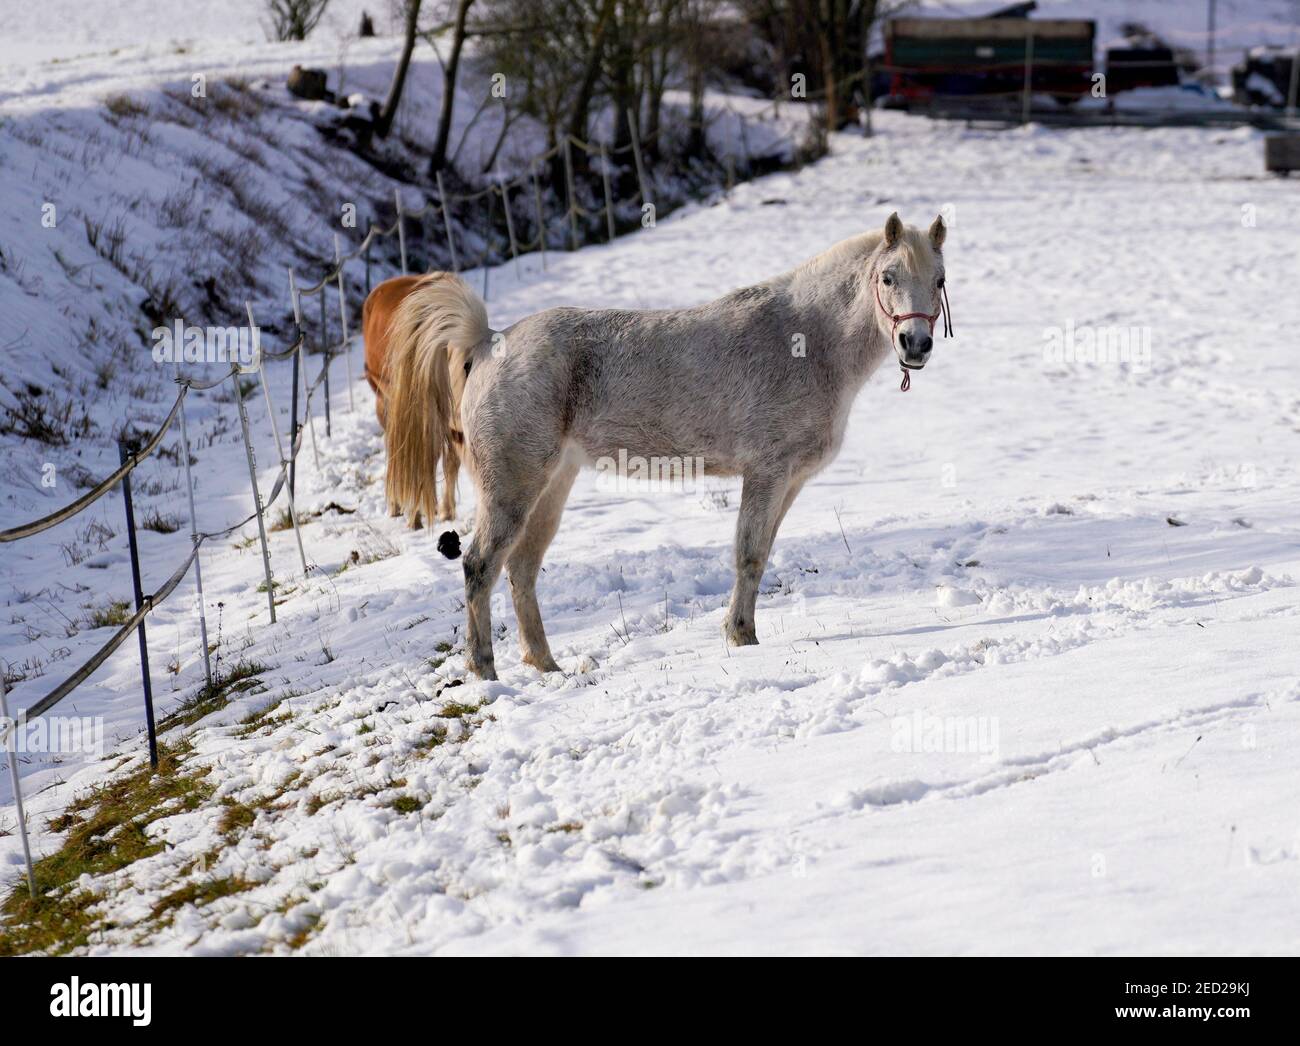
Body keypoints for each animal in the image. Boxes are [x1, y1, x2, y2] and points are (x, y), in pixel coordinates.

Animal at [384, 212, 951, 680]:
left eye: (939, 280)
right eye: (888, 277)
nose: (916, 346)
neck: (806, 341)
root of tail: (487, 343)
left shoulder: (788, 482)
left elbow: (761, 554)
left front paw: (745, 632)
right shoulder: (766, 473)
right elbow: (748, 554)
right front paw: (740, 637)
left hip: (552, 485)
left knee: (521, 569)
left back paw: (546, 665)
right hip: (511, 488)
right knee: (480, 565)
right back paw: (485, 671)